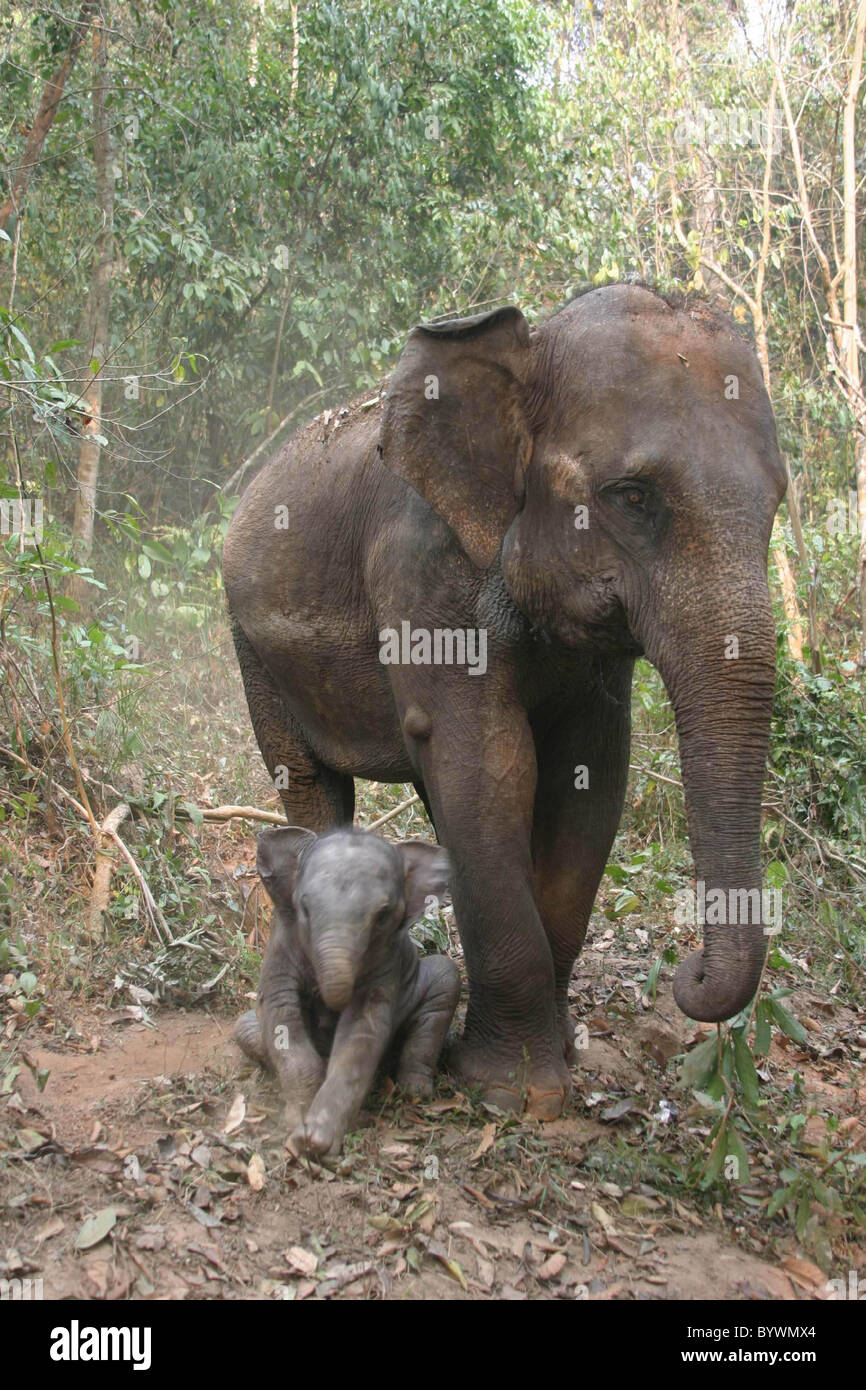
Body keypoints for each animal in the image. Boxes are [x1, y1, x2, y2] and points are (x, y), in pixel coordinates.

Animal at [222, 281, 786, 1121]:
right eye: (632, 496)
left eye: (777, 501)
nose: (688, 977)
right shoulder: (420, 575)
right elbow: (491, 767)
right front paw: (514, 1090)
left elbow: (587, 781)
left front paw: (560, 1054)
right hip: (253, 648)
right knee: (310, 784)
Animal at [234, 825, 458, 1157]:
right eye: (304, 908)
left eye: (382, 915)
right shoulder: (281, 945)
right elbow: (281, 1015)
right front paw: (299, 1123)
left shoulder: (387, 962)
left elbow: (362, 1031)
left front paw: (315, 1140)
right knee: (245, 1027)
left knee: (446, 977)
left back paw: (414, 1091)